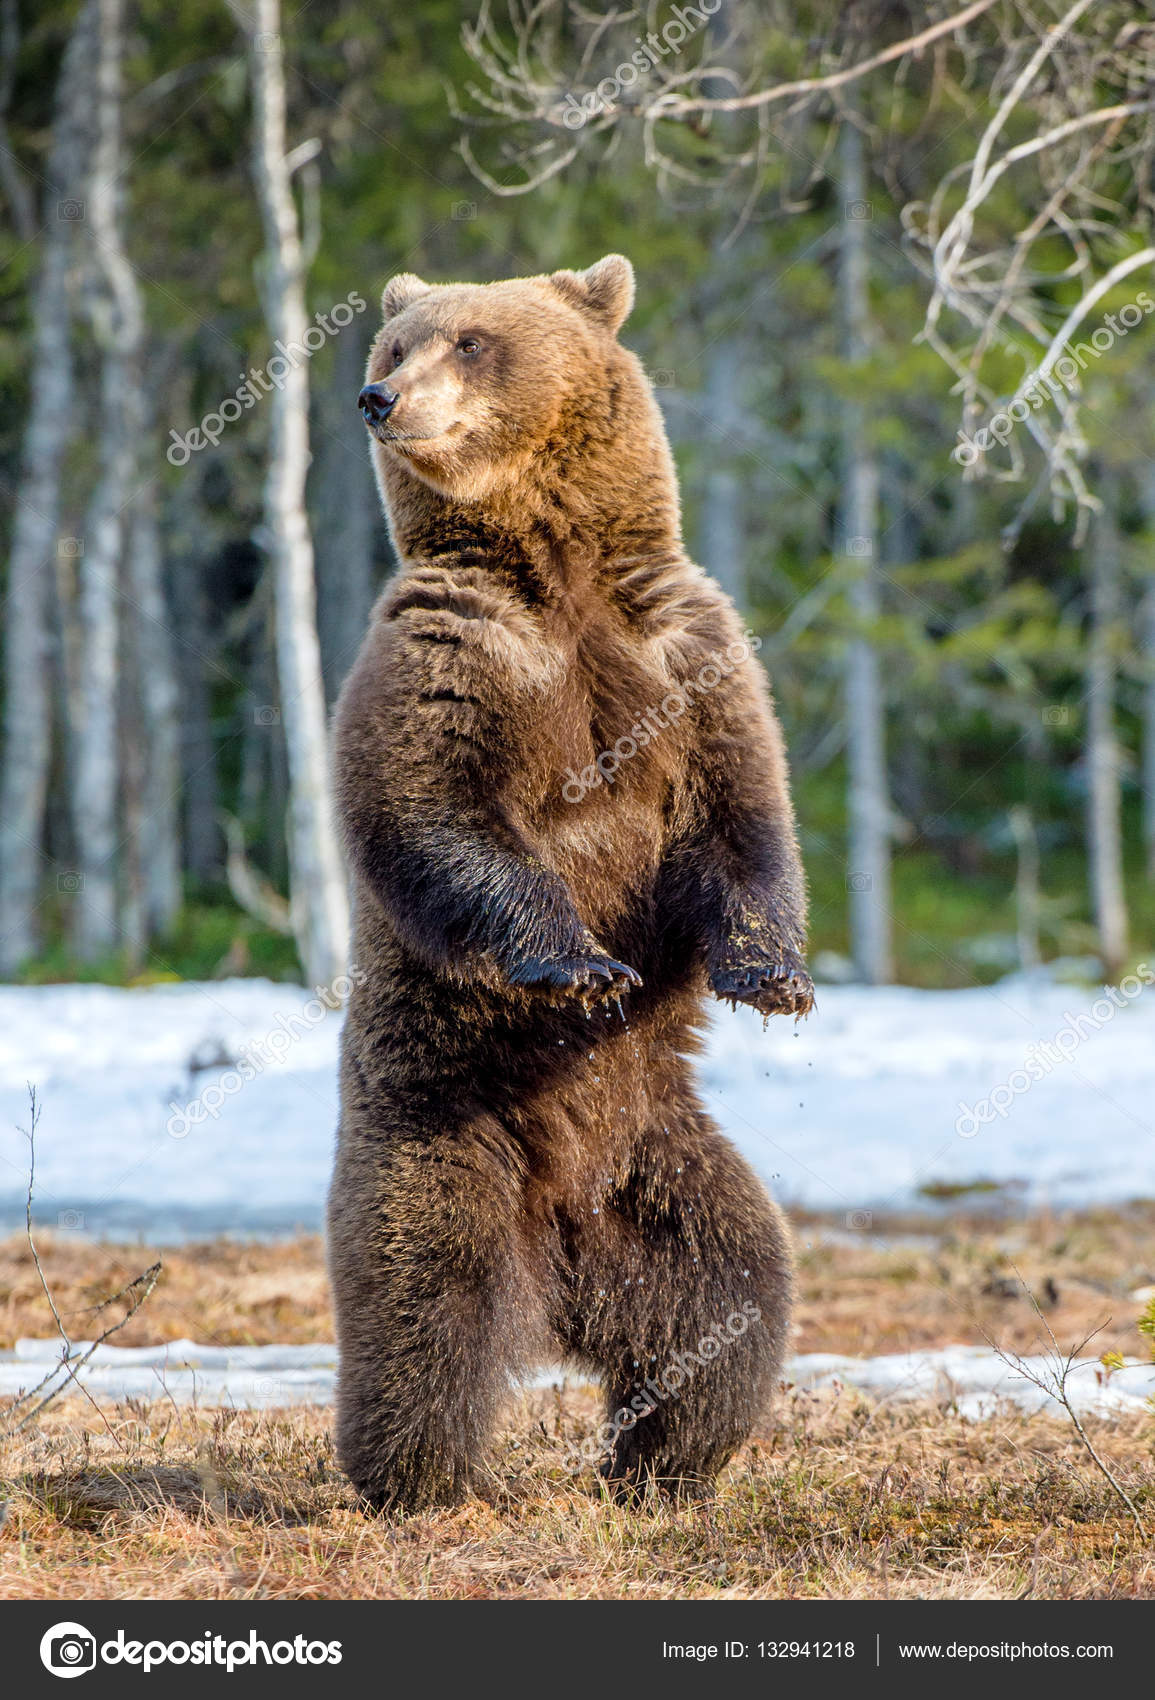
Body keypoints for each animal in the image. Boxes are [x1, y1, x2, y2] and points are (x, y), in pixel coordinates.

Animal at [326, 253, 813, 1514]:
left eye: (471, 339)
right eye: (393, 345)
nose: (379, 400)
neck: (554, 569)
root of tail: (561, 1260)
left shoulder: (684, 648)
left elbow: (744, 815)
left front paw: (774, 977)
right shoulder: (452, 654)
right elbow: (435, 816)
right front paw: (584, 961)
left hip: (662, 1169)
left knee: (735, 1301)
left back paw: (658, 1464)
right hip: (441, 1126)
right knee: (425, 1307)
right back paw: (417, 1477)